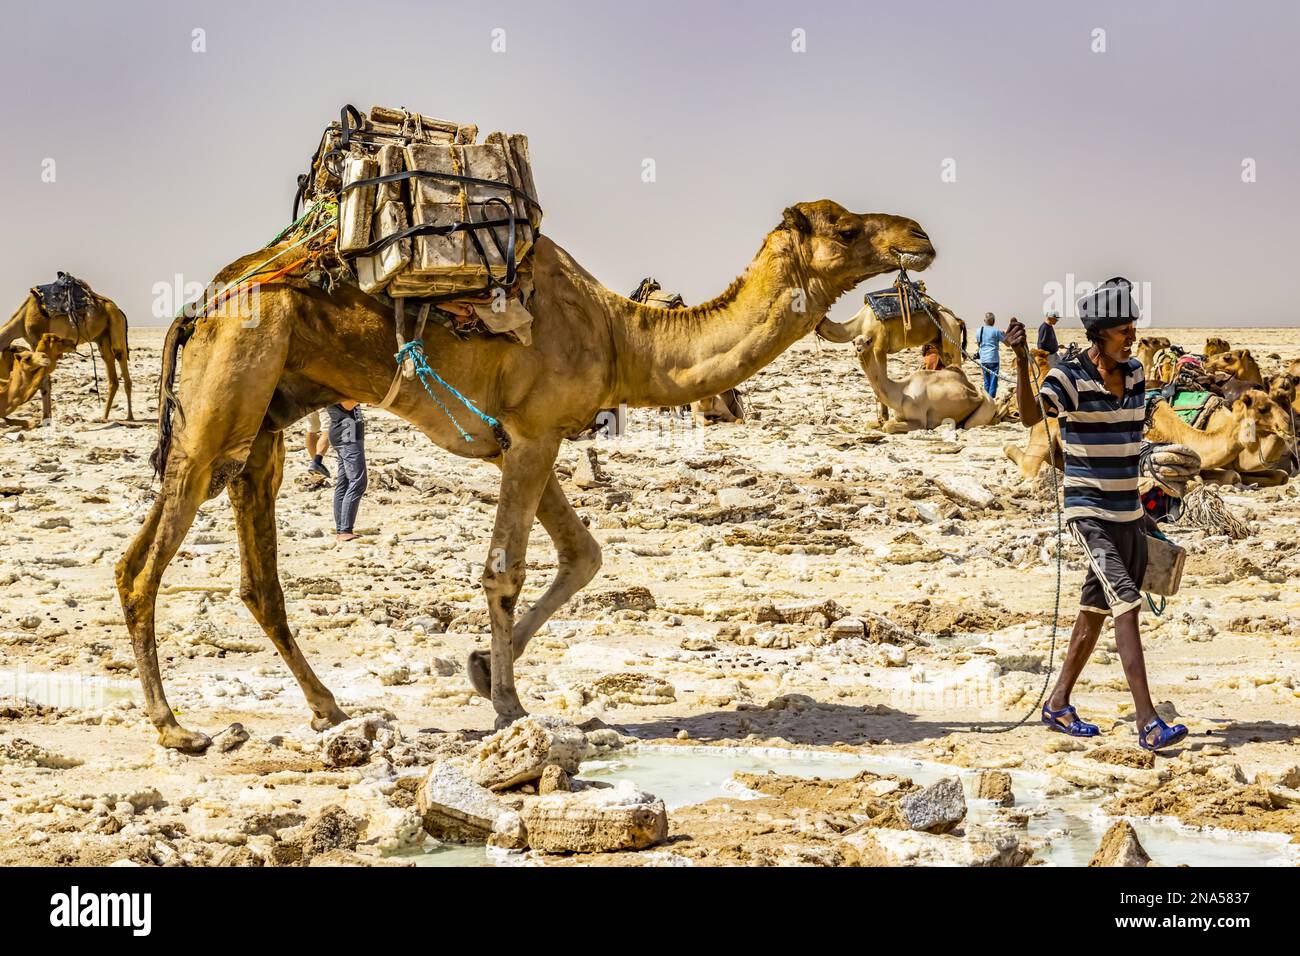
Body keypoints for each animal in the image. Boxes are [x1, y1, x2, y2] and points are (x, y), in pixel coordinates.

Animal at [0, 281, 133, 421]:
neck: (22, 319)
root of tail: (119, 310)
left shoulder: (36, 339)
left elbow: (44, 383)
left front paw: (46, 417)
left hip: (116, 325)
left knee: (121, 357)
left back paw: (129, 416)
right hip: (102, 337)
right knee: (111, 370)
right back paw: (104, 417)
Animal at [117, 199, 936, 751]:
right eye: (844, 228)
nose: (920, 237)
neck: (622, 334)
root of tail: (202, 305)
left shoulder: (523, 441)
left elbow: (584, 555)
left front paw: (483, 668)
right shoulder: (536, 436)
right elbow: (503, 568)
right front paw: (508, 704)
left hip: (261, 426)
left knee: (242, 575)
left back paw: (329, 709)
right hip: (222, 403)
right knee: (144, 564)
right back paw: (173, 726)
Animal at [851, 335, 995, 433]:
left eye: (868, 341)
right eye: (854, 342)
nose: (859, 349)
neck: (899, 391)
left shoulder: (919, 420)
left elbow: (888, 426)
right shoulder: (899, 417)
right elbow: (874, 424)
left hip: (987, 406)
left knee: (970, 423)